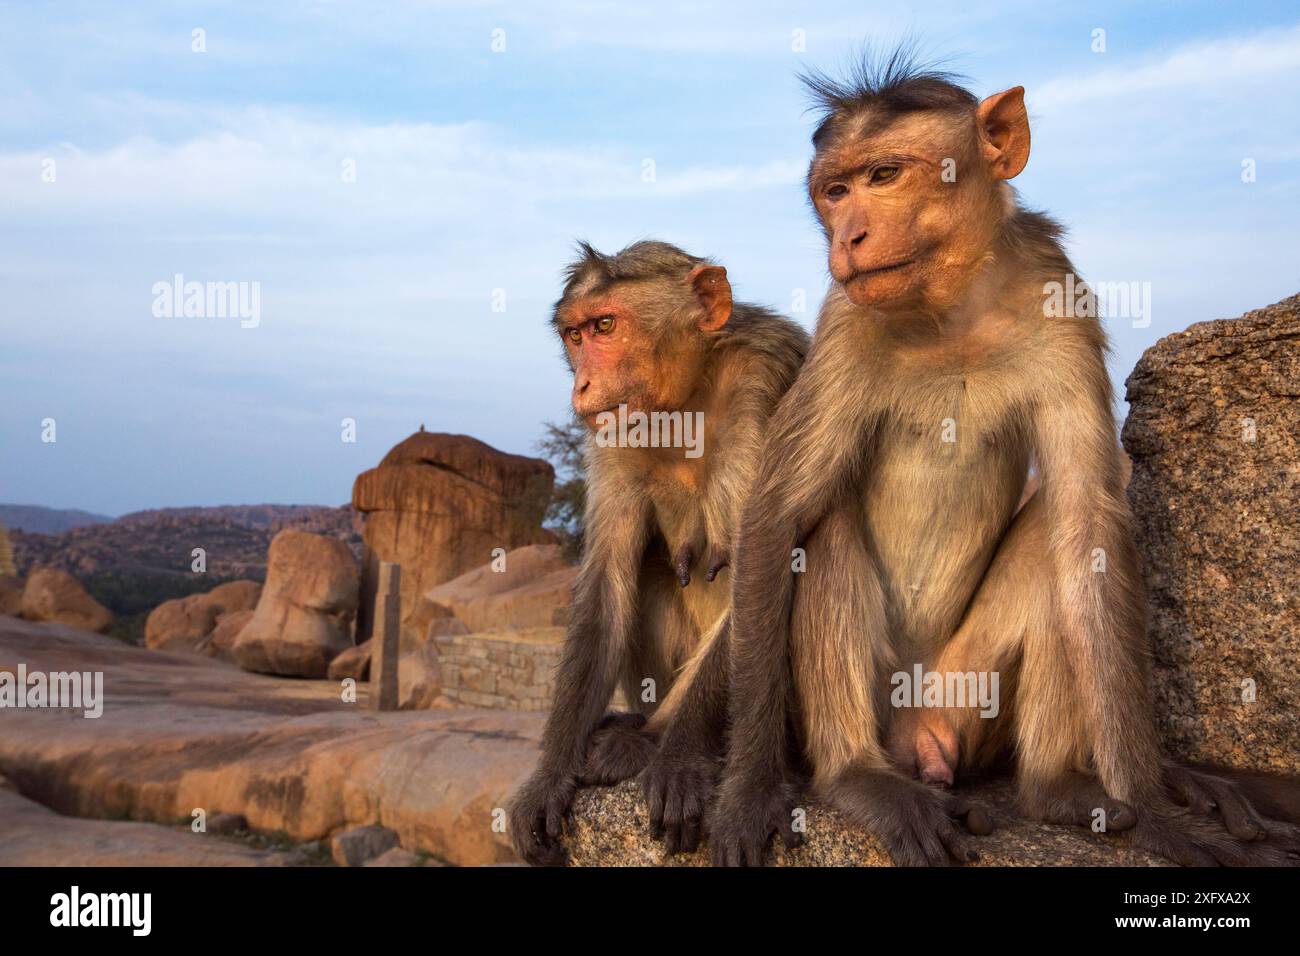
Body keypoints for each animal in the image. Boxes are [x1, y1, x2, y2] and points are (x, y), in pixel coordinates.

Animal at [507, 240, 808, 865]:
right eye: (574, 336)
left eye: (605, 326)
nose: (582, 386)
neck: (687, 400)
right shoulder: (612, 432)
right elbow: (606, 582)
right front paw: (549, 775)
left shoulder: (766, 381)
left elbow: (761, 567)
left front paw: (677, 757)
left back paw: (648, 741)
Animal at [707, 52, 1300, 867]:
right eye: (835, 190)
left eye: (884, 175)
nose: (849, 236)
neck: (953, 306)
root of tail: (914, 740)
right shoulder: (846, 324)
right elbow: (776, 515)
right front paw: (747, 791)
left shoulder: (1060, 304)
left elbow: (1087, 523)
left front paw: (1156, 805)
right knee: (822, 530)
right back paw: (860, 776)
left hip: (963, 699)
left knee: (1060, 531)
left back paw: (1058, 790)